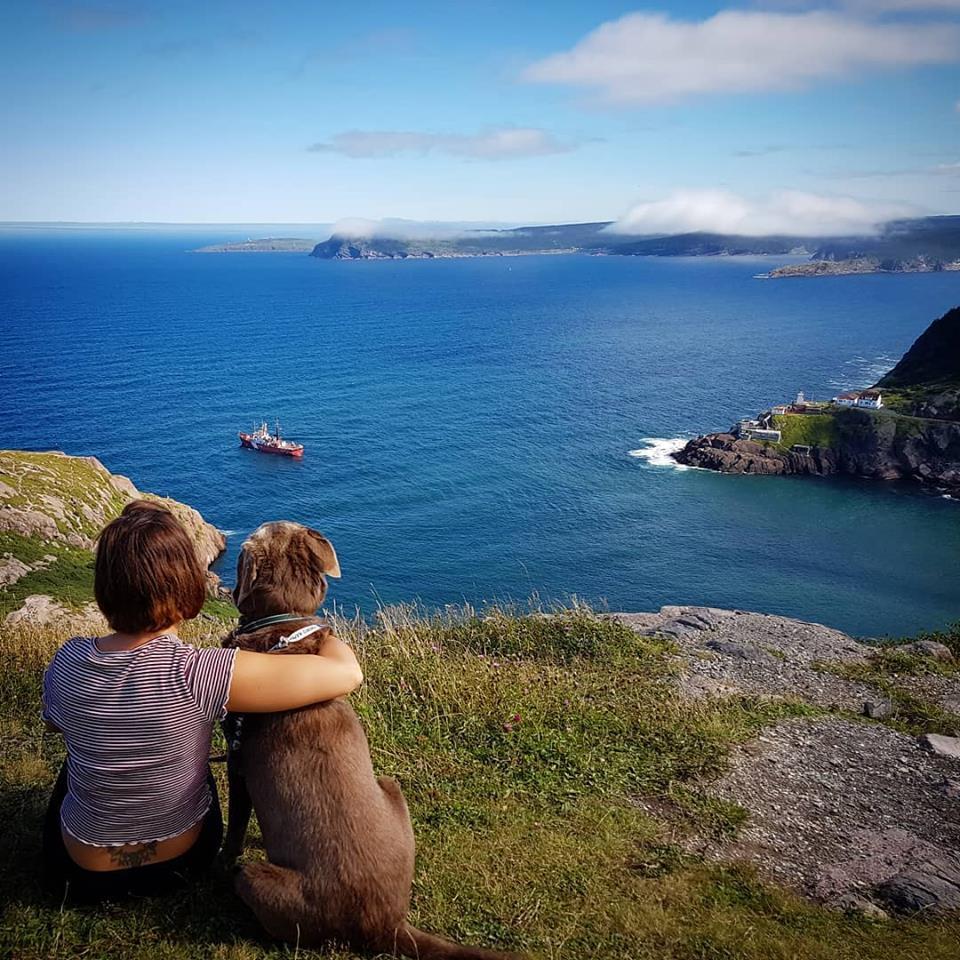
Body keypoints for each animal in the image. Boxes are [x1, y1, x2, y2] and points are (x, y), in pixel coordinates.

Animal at [221, 524, 520, 960]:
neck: (284, 632)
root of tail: (387, 925)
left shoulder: (236, 760)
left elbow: (235, 827)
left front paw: (221, 856)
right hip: (391, 786)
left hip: (256, 879)